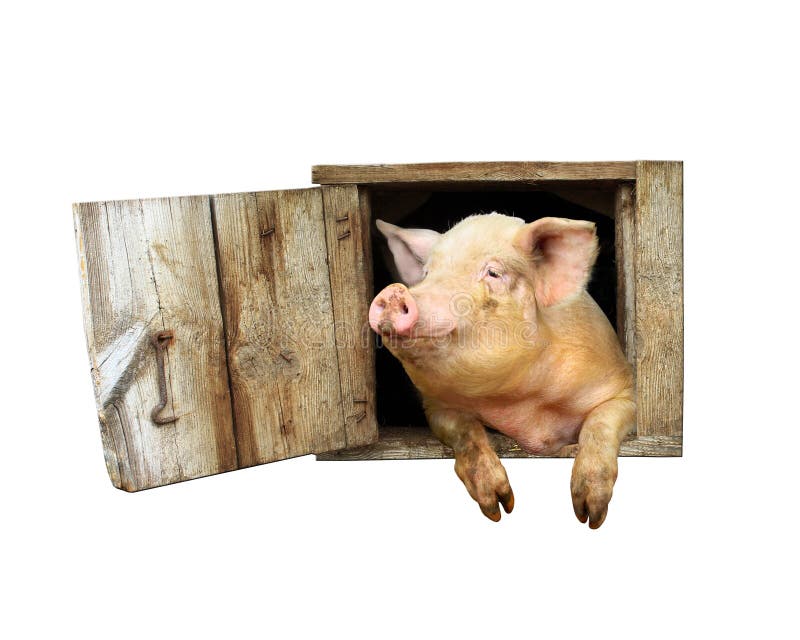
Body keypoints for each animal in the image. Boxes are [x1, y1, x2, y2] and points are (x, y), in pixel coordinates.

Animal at [368, 213, 634, 528]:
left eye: (493, 273)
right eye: (427, 273)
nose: (394, 292)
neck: (521, 402)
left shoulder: (622, 389)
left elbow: (600, 424)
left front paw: (590, 517)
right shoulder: (437, 407)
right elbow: (465, 431)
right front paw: (500, 508)